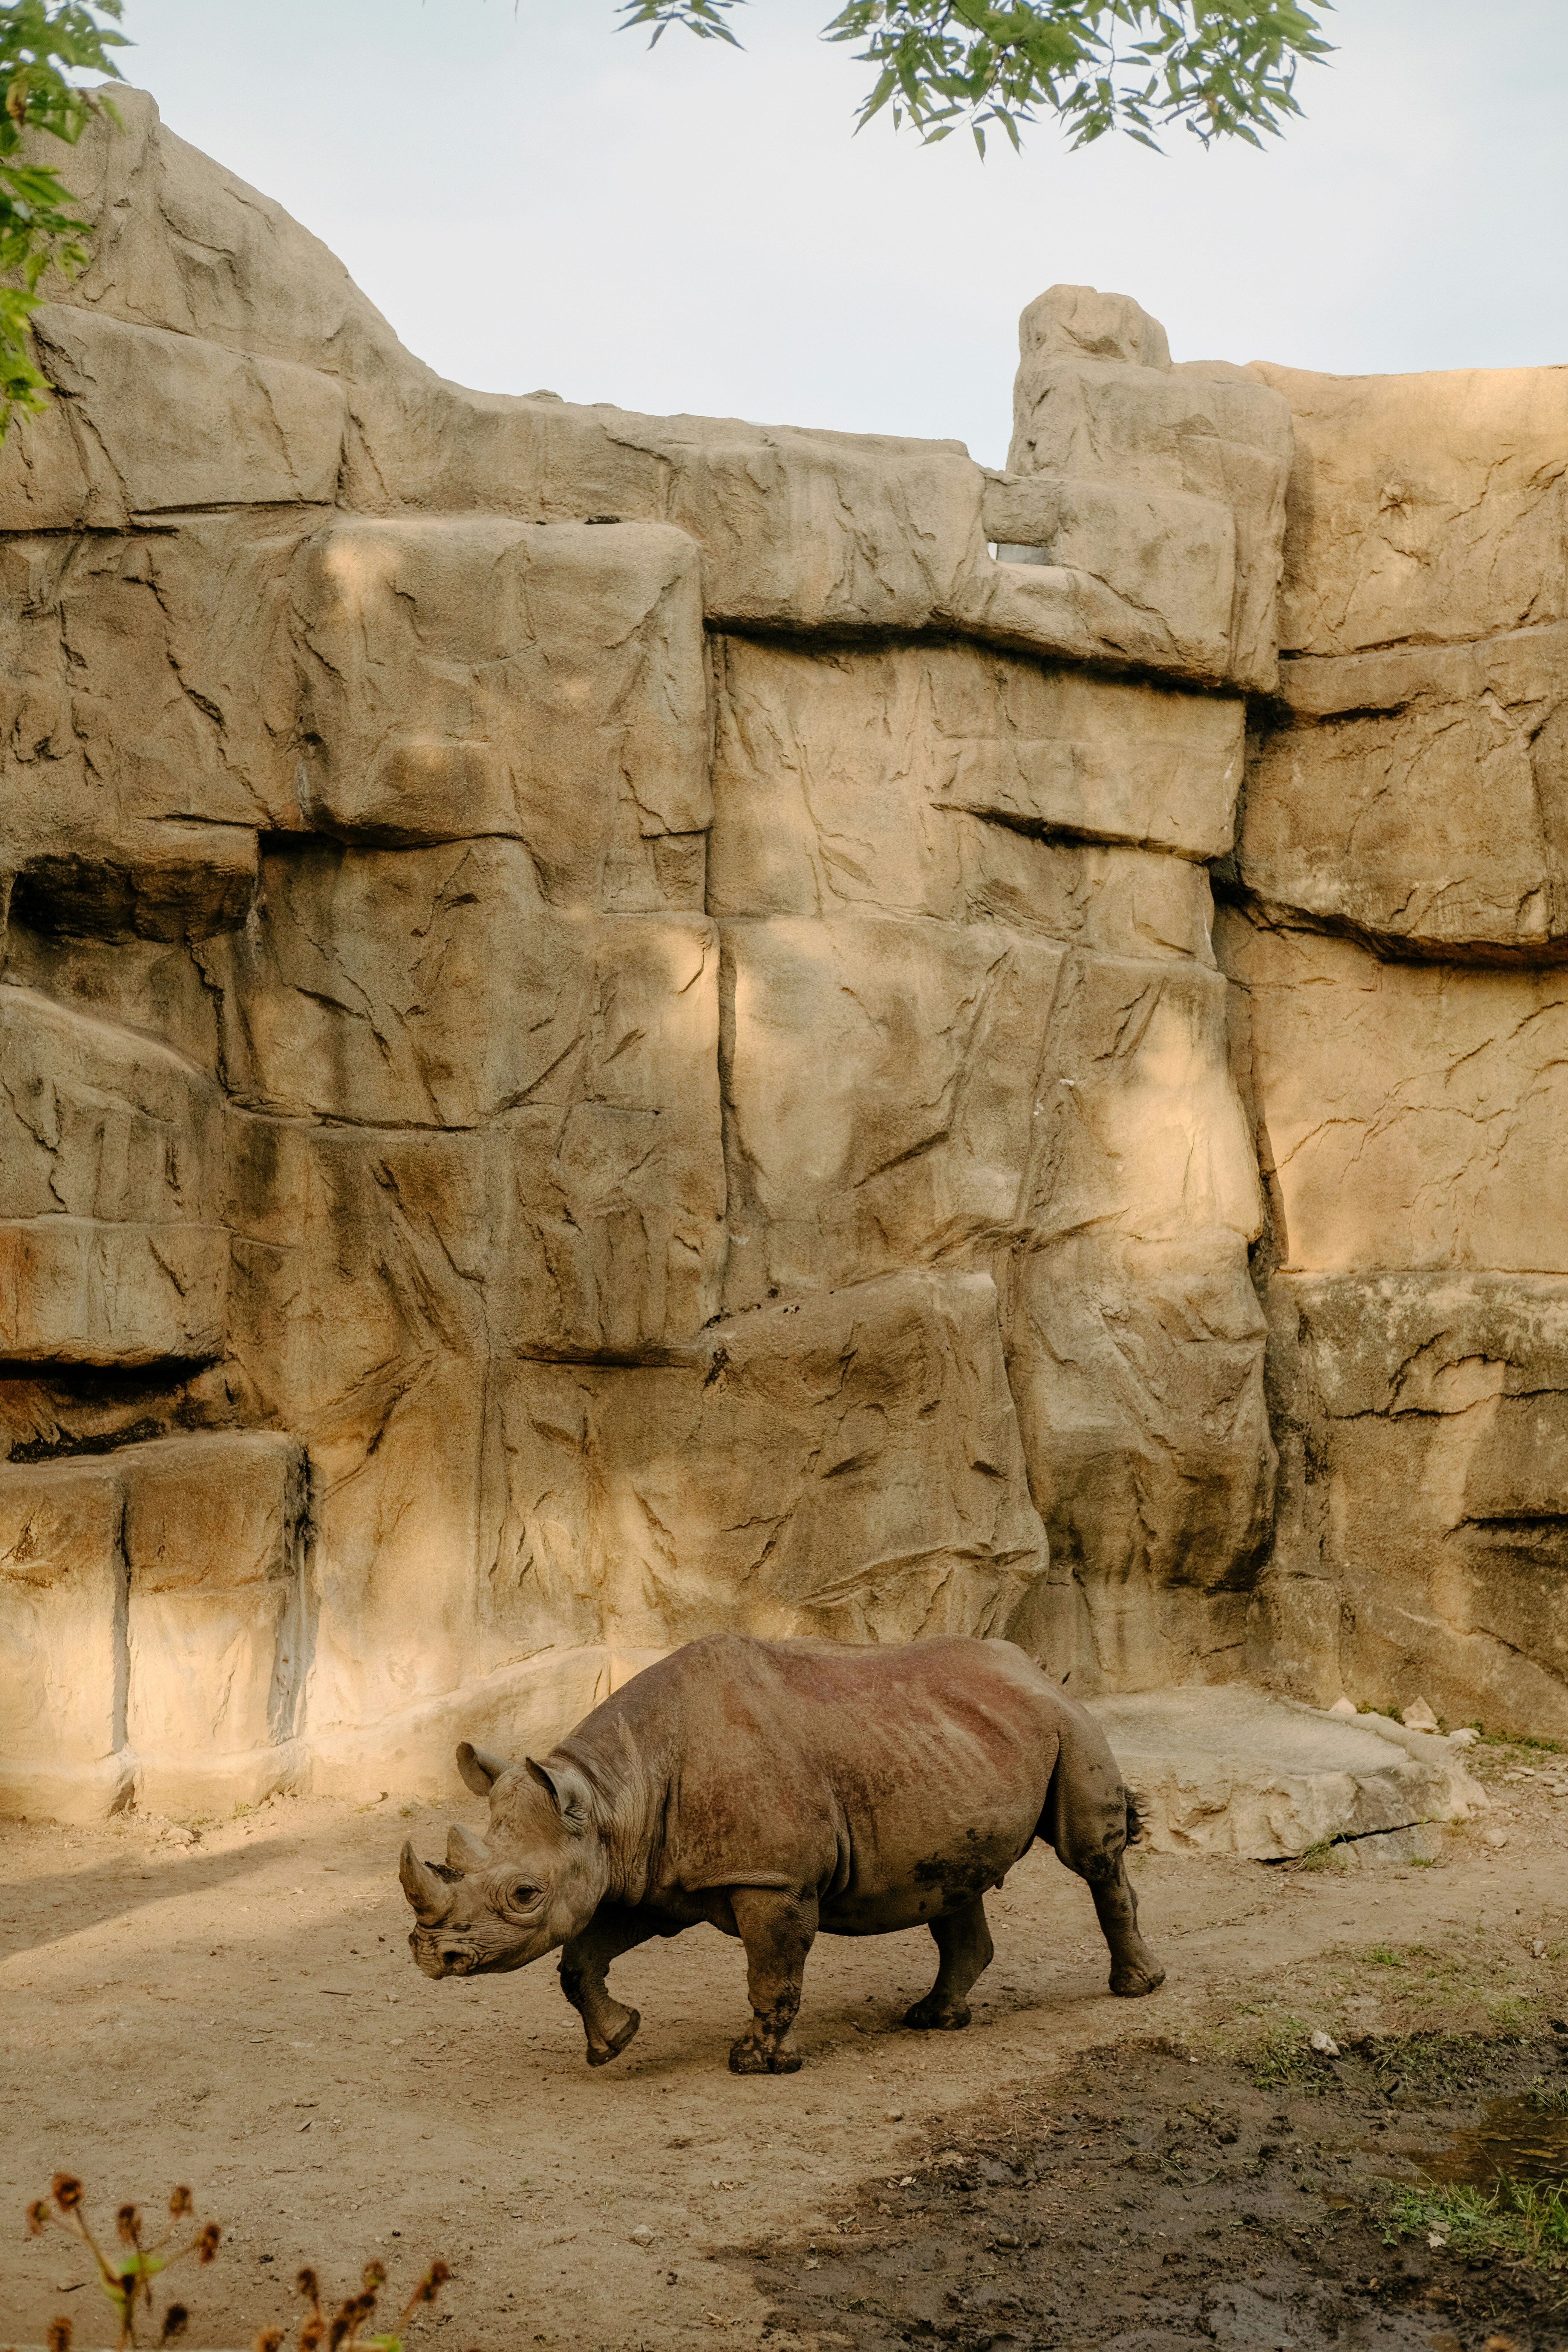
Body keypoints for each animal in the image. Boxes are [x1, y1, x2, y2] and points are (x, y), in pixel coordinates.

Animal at [398, 1633, 1163, 2074]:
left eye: (524, 1895)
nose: (433, 1957)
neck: (614, 1796)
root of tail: (1033, 1663)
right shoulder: (646, 1876)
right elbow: (579, 1959)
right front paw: (613, 2043)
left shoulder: (774, 1879)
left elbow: (773, 1974)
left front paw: (756, 2063)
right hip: (962, 1737)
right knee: (953, 1882)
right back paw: (933, 2020)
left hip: (1069, 1723)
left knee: (1091, 1859)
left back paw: (1136, 1988)